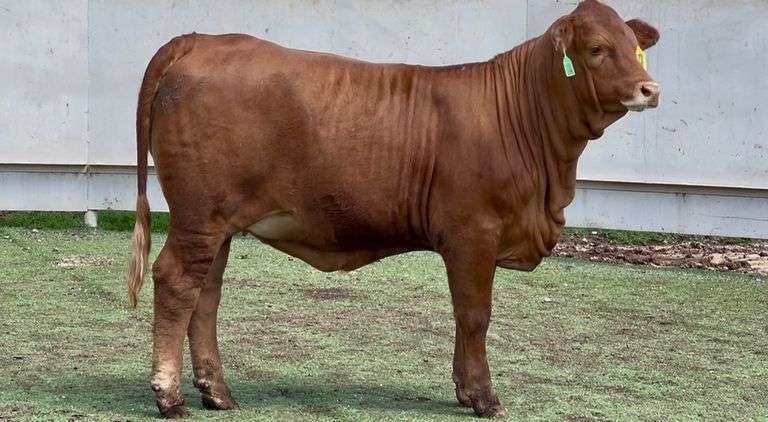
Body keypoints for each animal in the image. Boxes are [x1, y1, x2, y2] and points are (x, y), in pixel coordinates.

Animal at [126, 0, 660, 418]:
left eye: (635, 47)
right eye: (597, 49)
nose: (649, 89)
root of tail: (200, 40)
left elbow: (463, 315)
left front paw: (464, 390)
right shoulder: (473, 233)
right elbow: (474, 314)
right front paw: (484, 397)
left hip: (217, 223)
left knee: (206, 295)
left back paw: (217, 393)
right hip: (199, 217)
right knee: (176, 283)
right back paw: (169, 397)